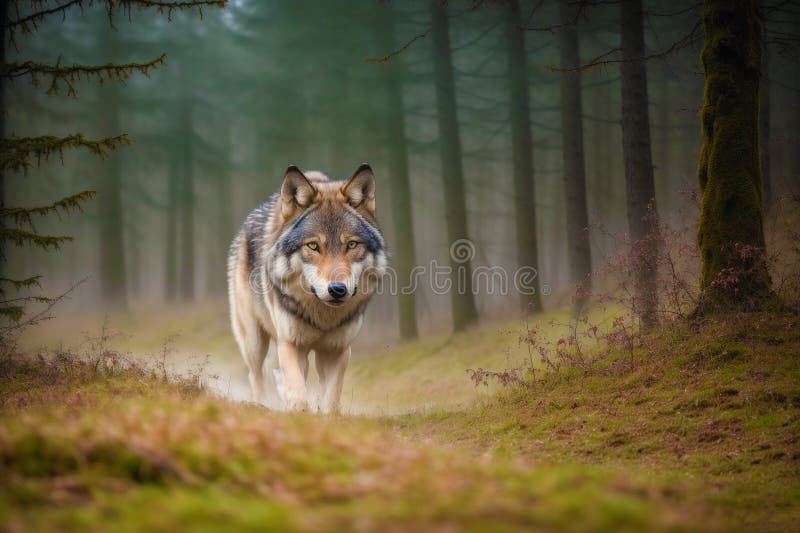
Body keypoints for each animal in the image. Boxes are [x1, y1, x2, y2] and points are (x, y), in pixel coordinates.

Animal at [227, 164, 387, 413]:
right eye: (313, 246)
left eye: (351, 244)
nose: (337, 289)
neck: (323, 318)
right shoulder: (290, 343)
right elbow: (298, 391)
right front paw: (298, 413)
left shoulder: (337, 350)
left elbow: (331, 397)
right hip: (253, 341)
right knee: (256, 375)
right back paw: (261, 404)